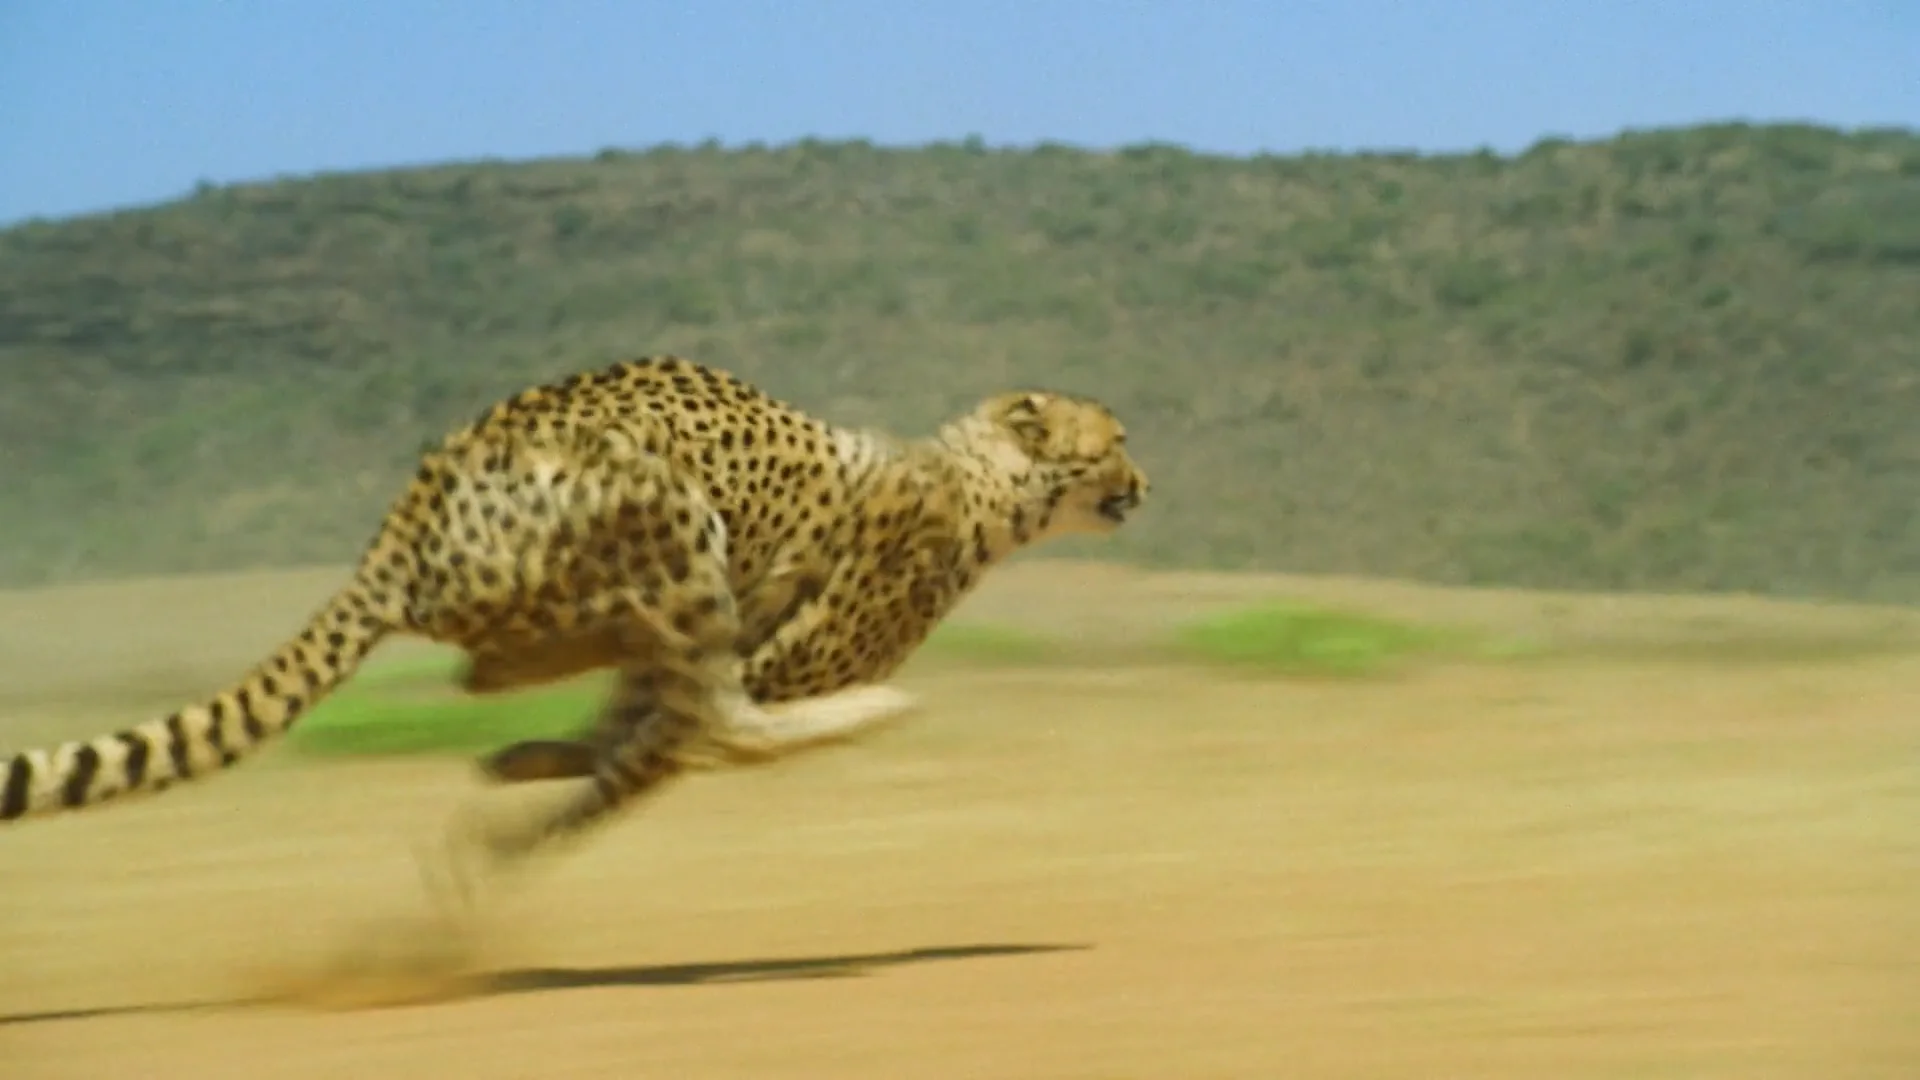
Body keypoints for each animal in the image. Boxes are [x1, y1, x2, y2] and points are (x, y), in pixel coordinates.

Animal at [0, 355, 1148, 879]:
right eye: (1117, 438)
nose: (1147, 482)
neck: (983, 481)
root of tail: (412, 506)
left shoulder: (685, 664)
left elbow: (625, 734)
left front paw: (526, 770)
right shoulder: (763, 659)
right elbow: (660, 753)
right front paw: (520, 838)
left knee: (499, 668)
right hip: (661, 498)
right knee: (709, 718)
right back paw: (875, 712)